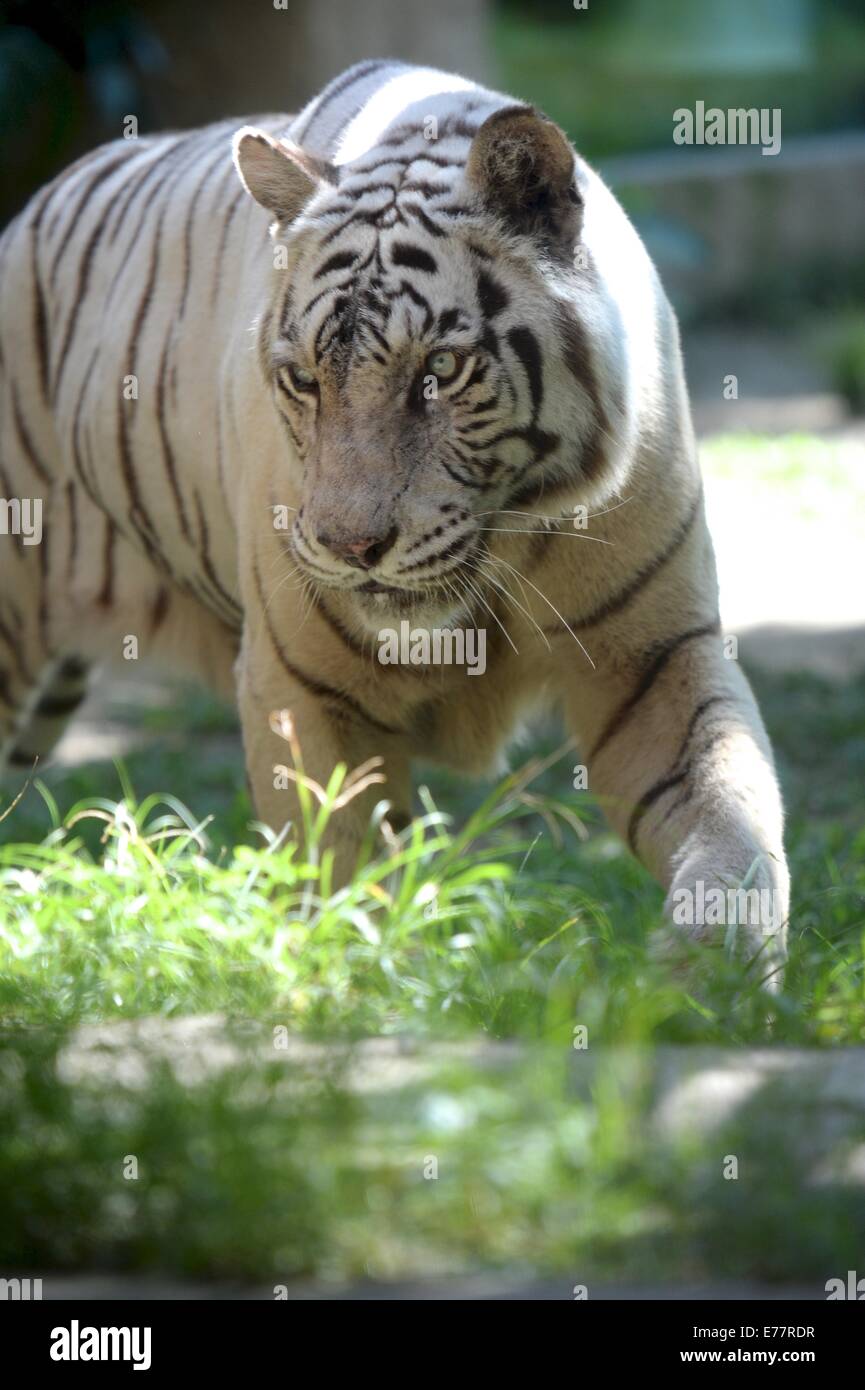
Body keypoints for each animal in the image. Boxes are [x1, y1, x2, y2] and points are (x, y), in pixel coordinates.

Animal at [0, 59, 788, 973]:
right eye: (304, 379)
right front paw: (356, 978)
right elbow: (337, 863)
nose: (352, 545)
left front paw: (715, 967)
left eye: (439, 370)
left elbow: (725, 806)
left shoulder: (654, 656)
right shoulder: (301, 687)